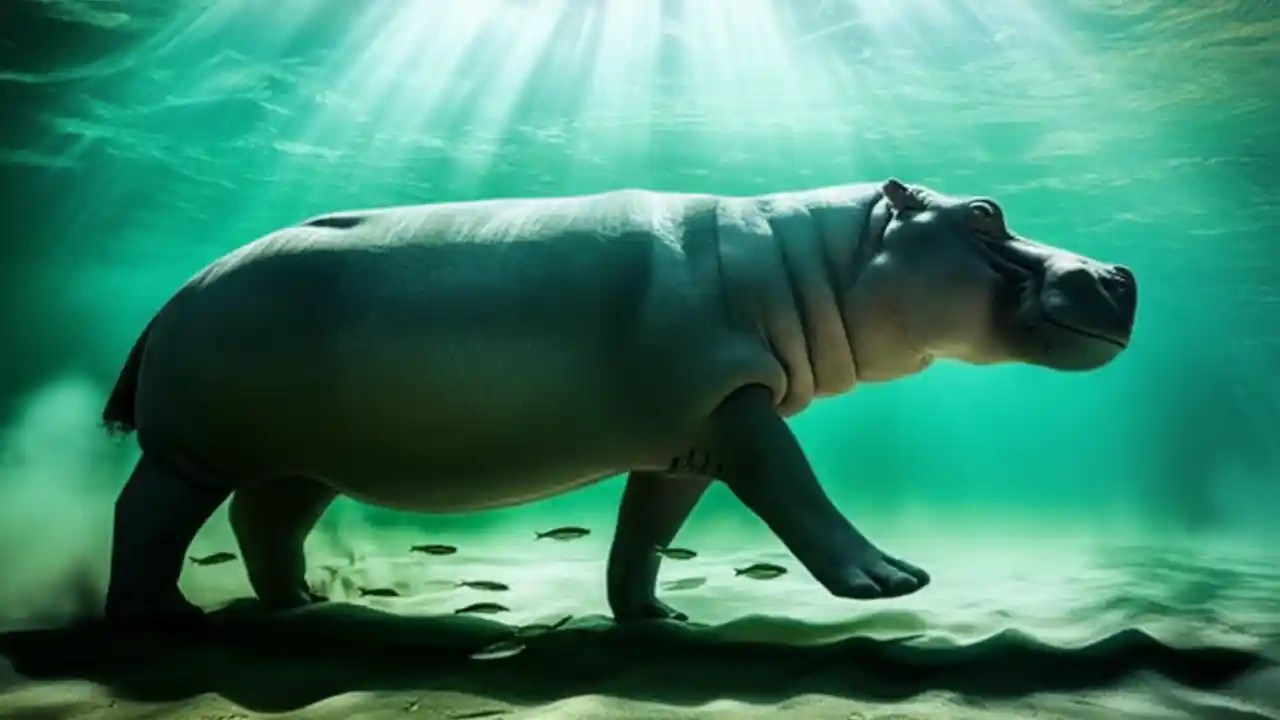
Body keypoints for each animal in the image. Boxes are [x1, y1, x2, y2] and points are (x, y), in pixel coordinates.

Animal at [100, 179, 1137, 627]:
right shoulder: (740, 407)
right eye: (984, 214)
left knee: (265, 519)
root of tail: (173, 296)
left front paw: (655, 619)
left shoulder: (688, 433)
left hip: (302, 456)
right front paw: (892, 582)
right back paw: (158, 619)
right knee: (144, 514)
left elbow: (645, 532)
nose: (1120, 273)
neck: (823, 259)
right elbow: (799, 491)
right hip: (190, 450)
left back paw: (301, 606)